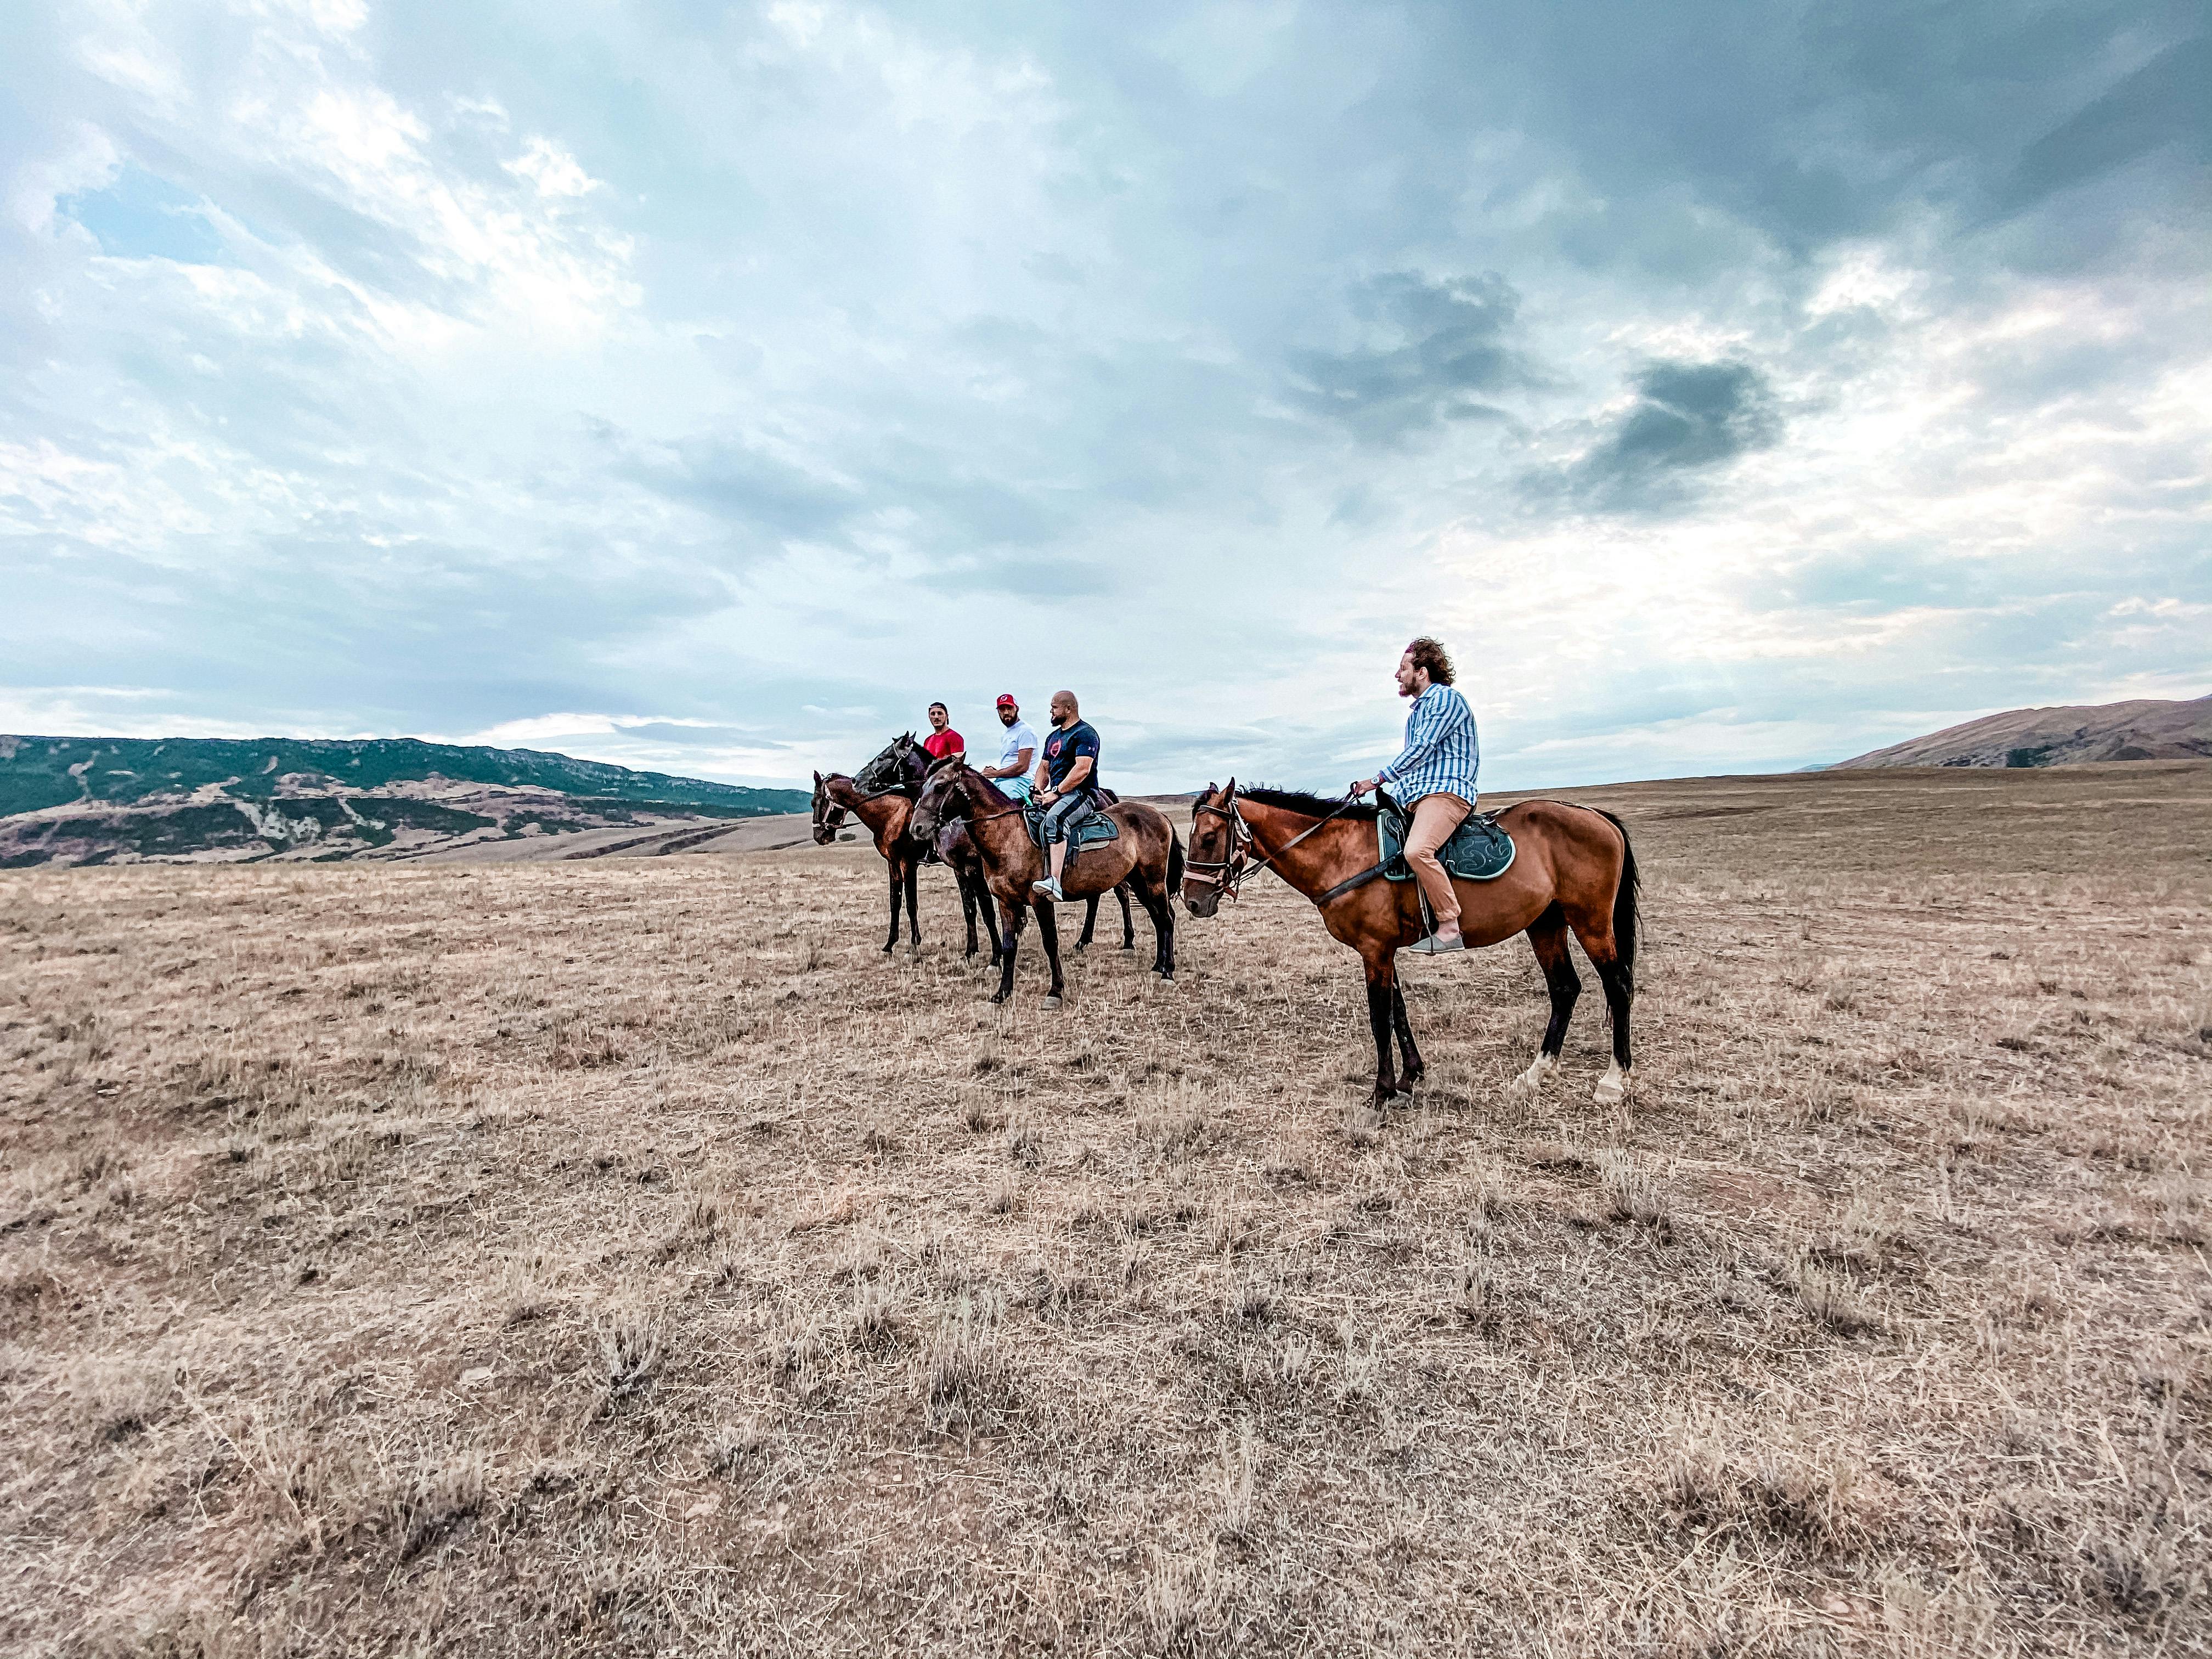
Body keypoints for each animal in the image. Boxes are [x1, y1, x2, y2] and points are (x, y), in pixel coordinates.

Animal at [909, 756, 1183, 1009]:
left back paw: (1168, 972)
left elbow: (1050, 942)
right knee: (1158, 918)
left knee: (1166, 917)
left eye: (941, 786)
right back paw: (1159, 965)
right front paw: (1002, 993)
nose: (917, 829)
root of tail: (1159, 815)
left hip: (1154, 881)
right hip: (1140, 881)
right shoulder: (1006, 903)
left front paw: (1055, 991)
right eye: (923, 787)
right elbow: (1009, 946)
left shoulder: (1040, 901)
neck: (1010, 835)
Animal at [1181, 783, 1639, 1110]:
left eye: (1209, 838)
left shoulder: (1374, 950)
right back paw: (1536, 1074)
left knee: (1617, 985)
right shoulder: (1384, 950)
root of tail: (1597, 816)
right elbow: (1398, 1011)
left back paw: (1613, 1082)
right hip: (1546, 924)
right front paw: (1410, 1077)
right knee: (1565, 988)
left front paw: (1381, 1091)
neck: (1342, 854)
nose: (1192, 901)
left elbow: (1379, 1016)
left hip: (1590, 922)